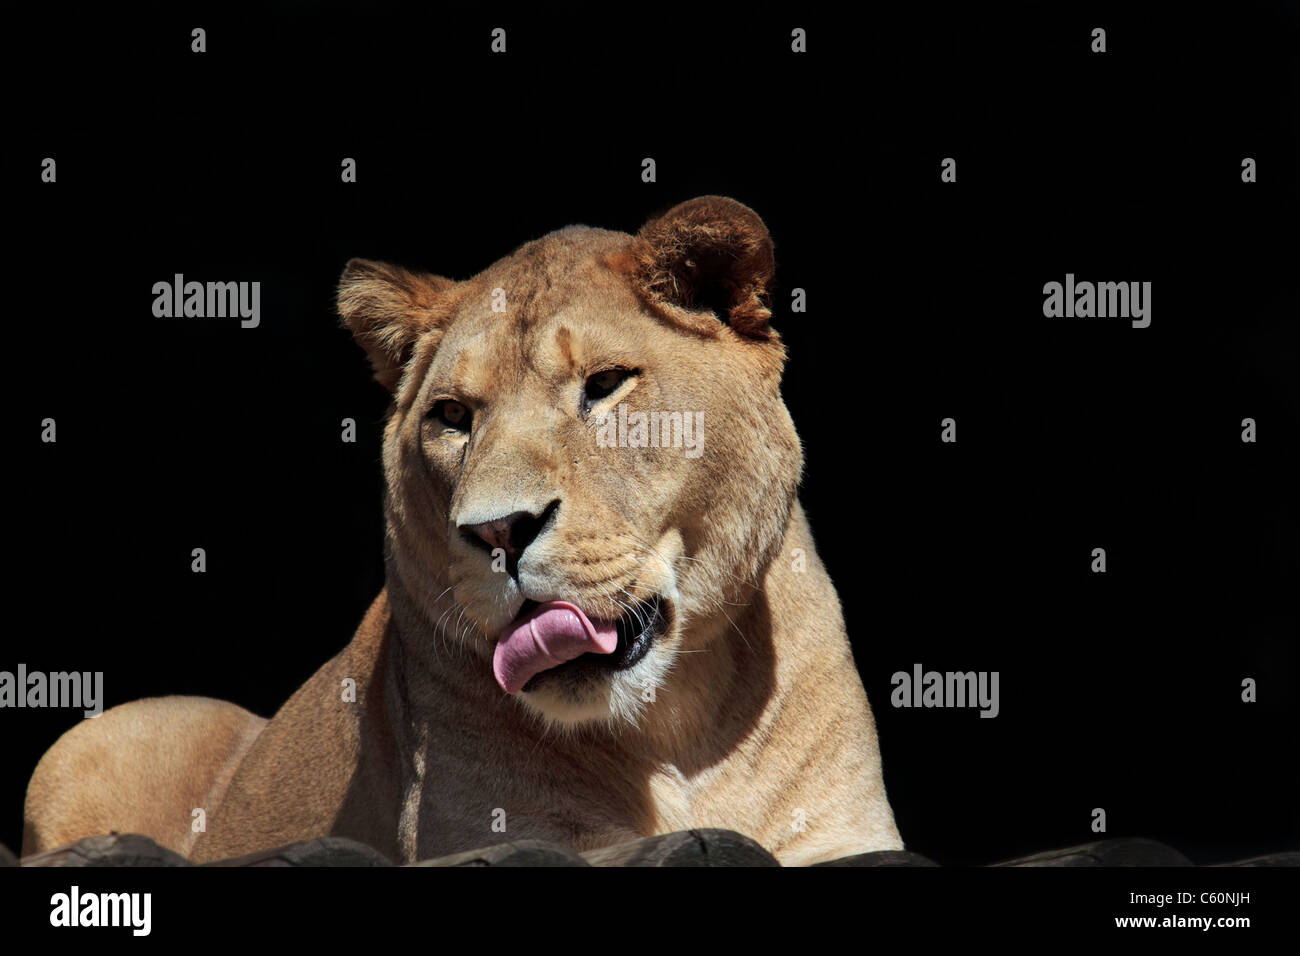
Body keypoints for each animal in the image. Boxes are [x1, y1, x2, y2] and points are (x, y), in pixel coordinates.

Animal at [22, 196, 903, 866]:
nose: (501, 531)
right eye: (452, 415)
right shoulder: (503, 835)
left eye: (605, 385)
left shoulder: (846, 836)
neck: (674, 724)